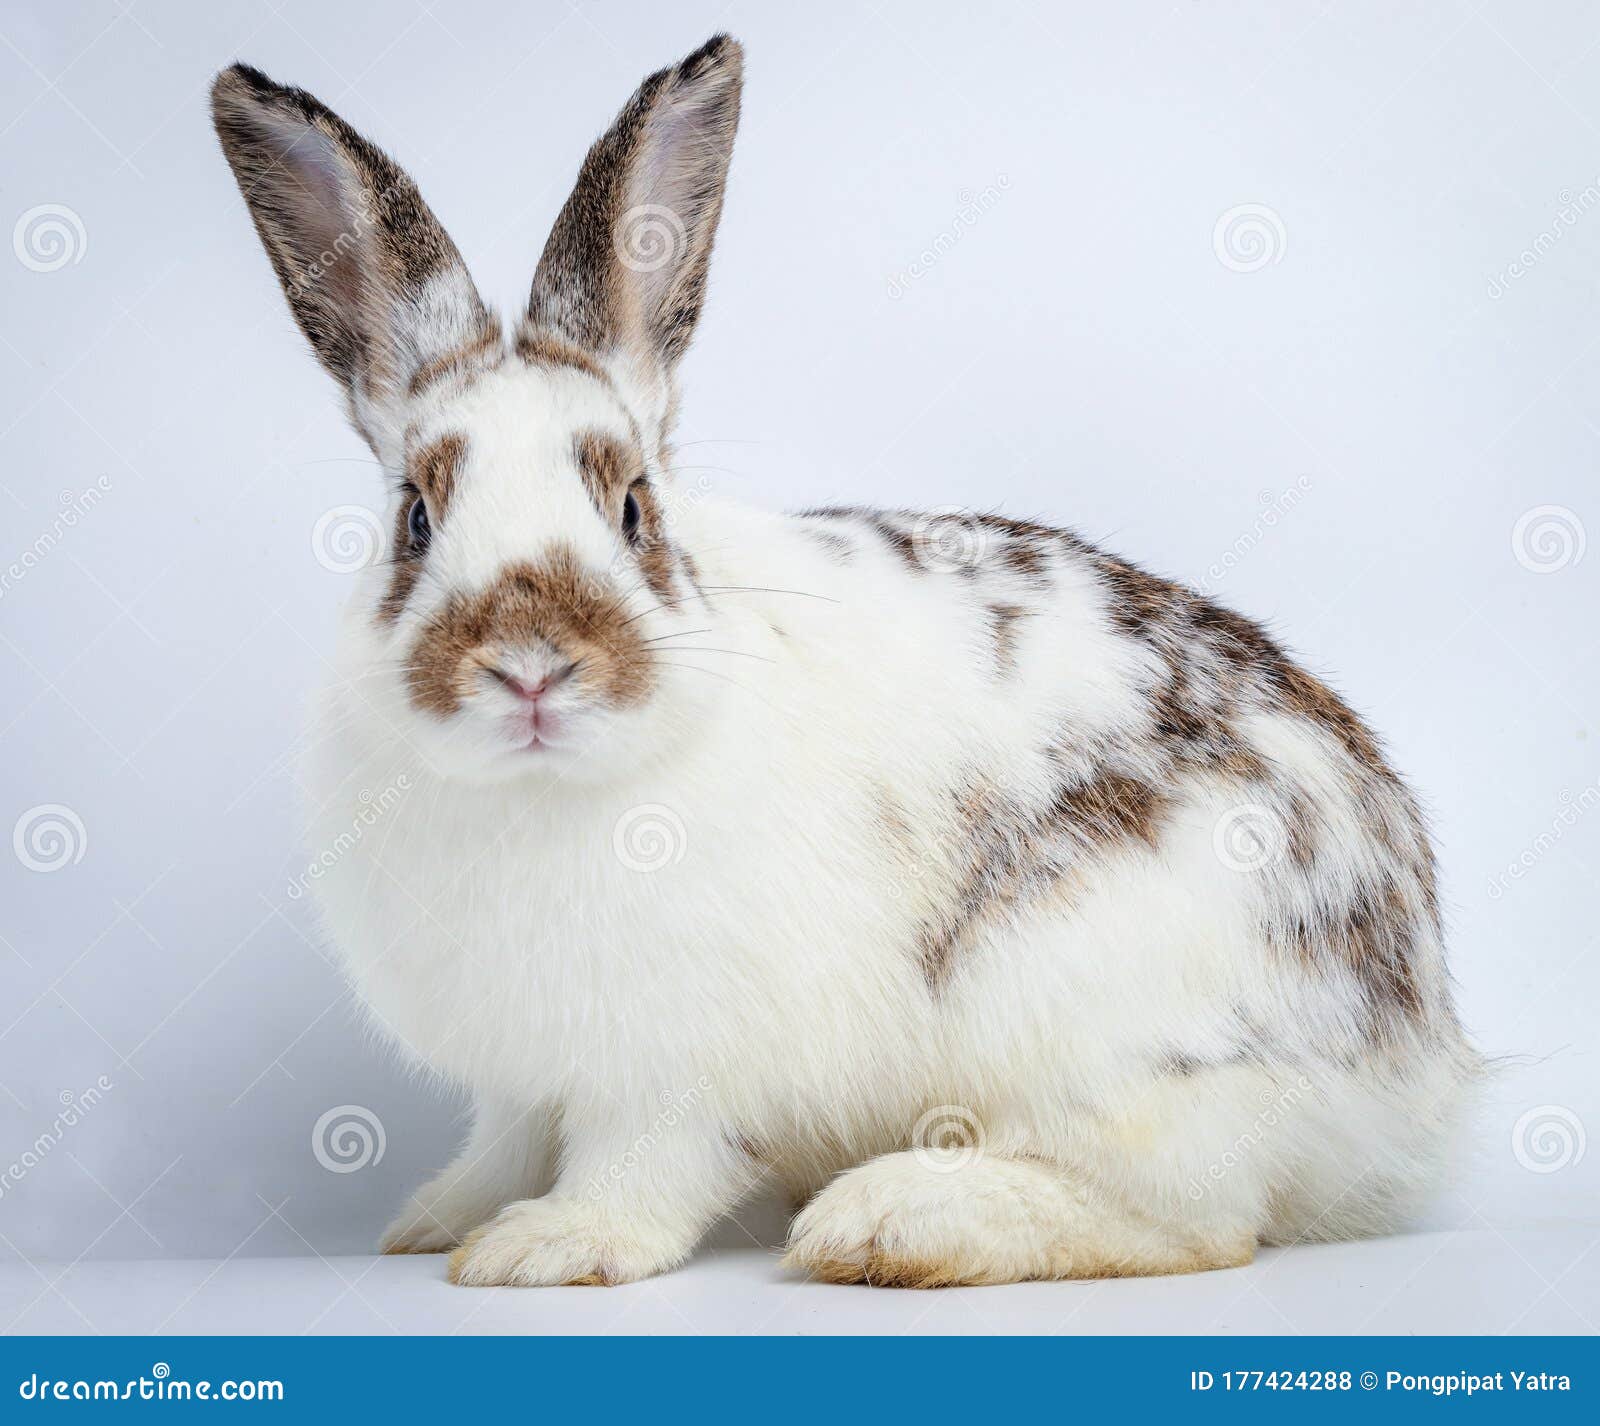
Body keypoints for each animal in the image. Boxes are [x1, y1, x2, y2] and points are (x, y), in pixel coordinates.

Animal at [210, 34, 1478, 1288]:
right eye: (415, 518)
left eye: (633, 507)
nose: (528, 667)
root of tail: (1413, 1062)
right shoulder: (523, 1076)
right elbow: (507, 1139)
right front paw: (441, 1220)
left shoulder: (676, 1071)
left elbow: (641, 1166)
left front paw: (546, 1248)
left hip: (1096, 1013)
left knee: (1194, 1215)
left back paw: (890, 1224)